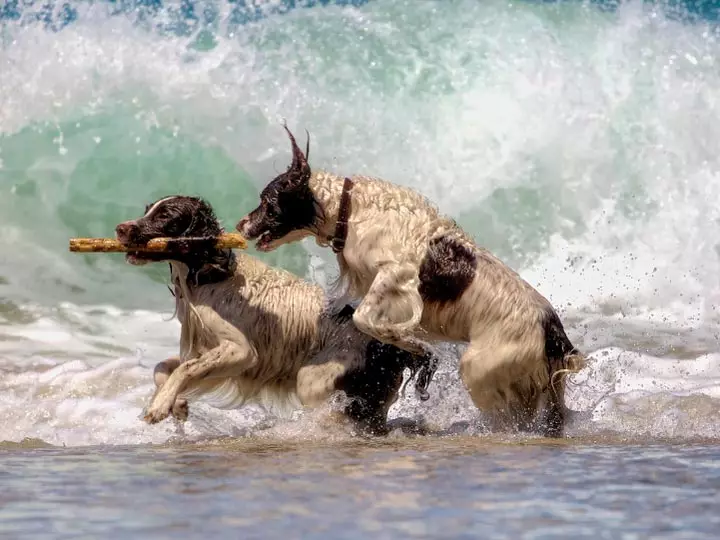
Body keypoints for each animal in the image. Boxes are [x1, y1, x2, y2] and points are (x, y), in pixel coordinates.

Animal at [236, 125, 584, 434]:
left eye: (267, 202)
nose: (240, 224)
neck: (348, 210)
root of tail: (552, 328)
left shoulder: (397, 274)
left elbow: (367, 319)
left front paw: (420, 353)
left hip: (480, 367)